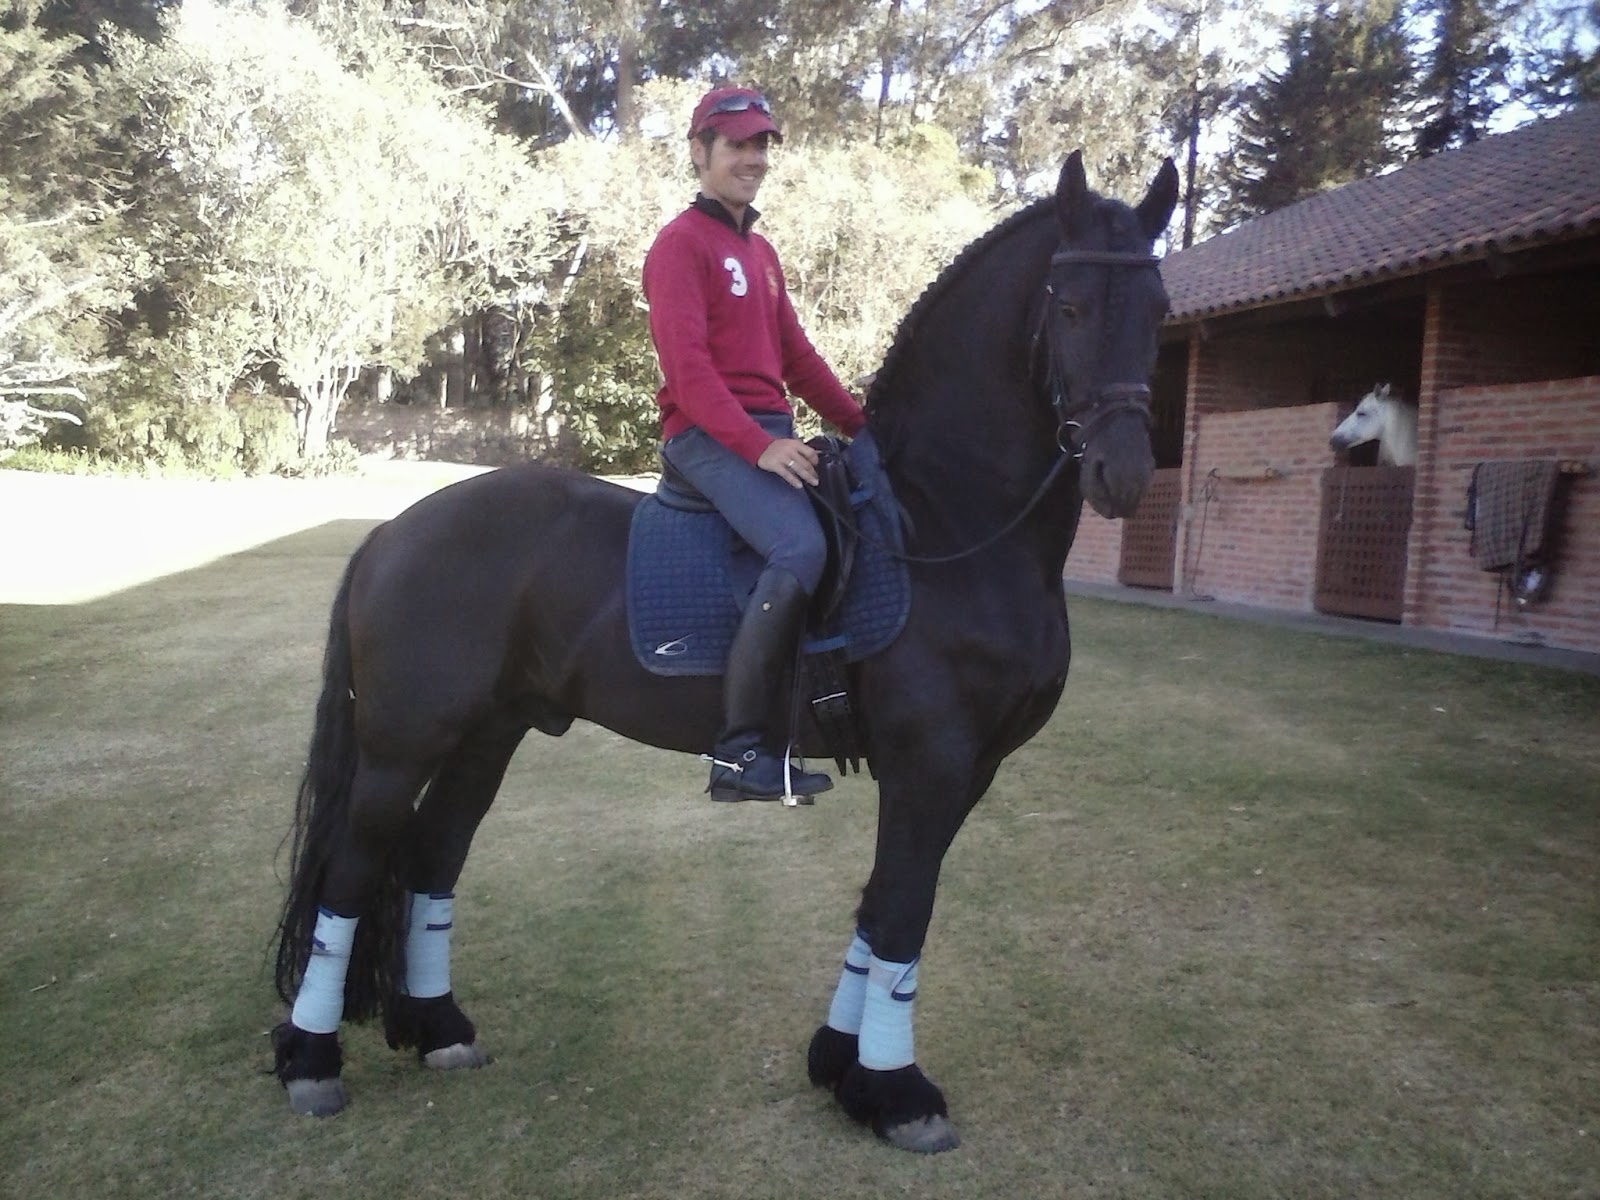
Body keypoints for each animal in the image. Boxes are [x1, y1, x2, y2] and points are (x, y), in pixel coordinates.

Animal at [271, 150, 1180, 1153]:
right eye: (1069, 307)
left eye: (1160, 310)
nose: (1123, 473)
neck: (944, 524)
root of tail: (391, 531)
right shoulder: (933, 763)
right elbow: (906, 911)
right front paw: (898, 1093)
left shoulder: (967, 771)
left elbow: (879, 905)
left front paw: (844, 1070)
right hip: (402, 749)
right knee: (352, 876)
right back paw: (311, 1060)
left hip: (487, 737)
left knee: (434, 858)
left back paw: (438, 1029)